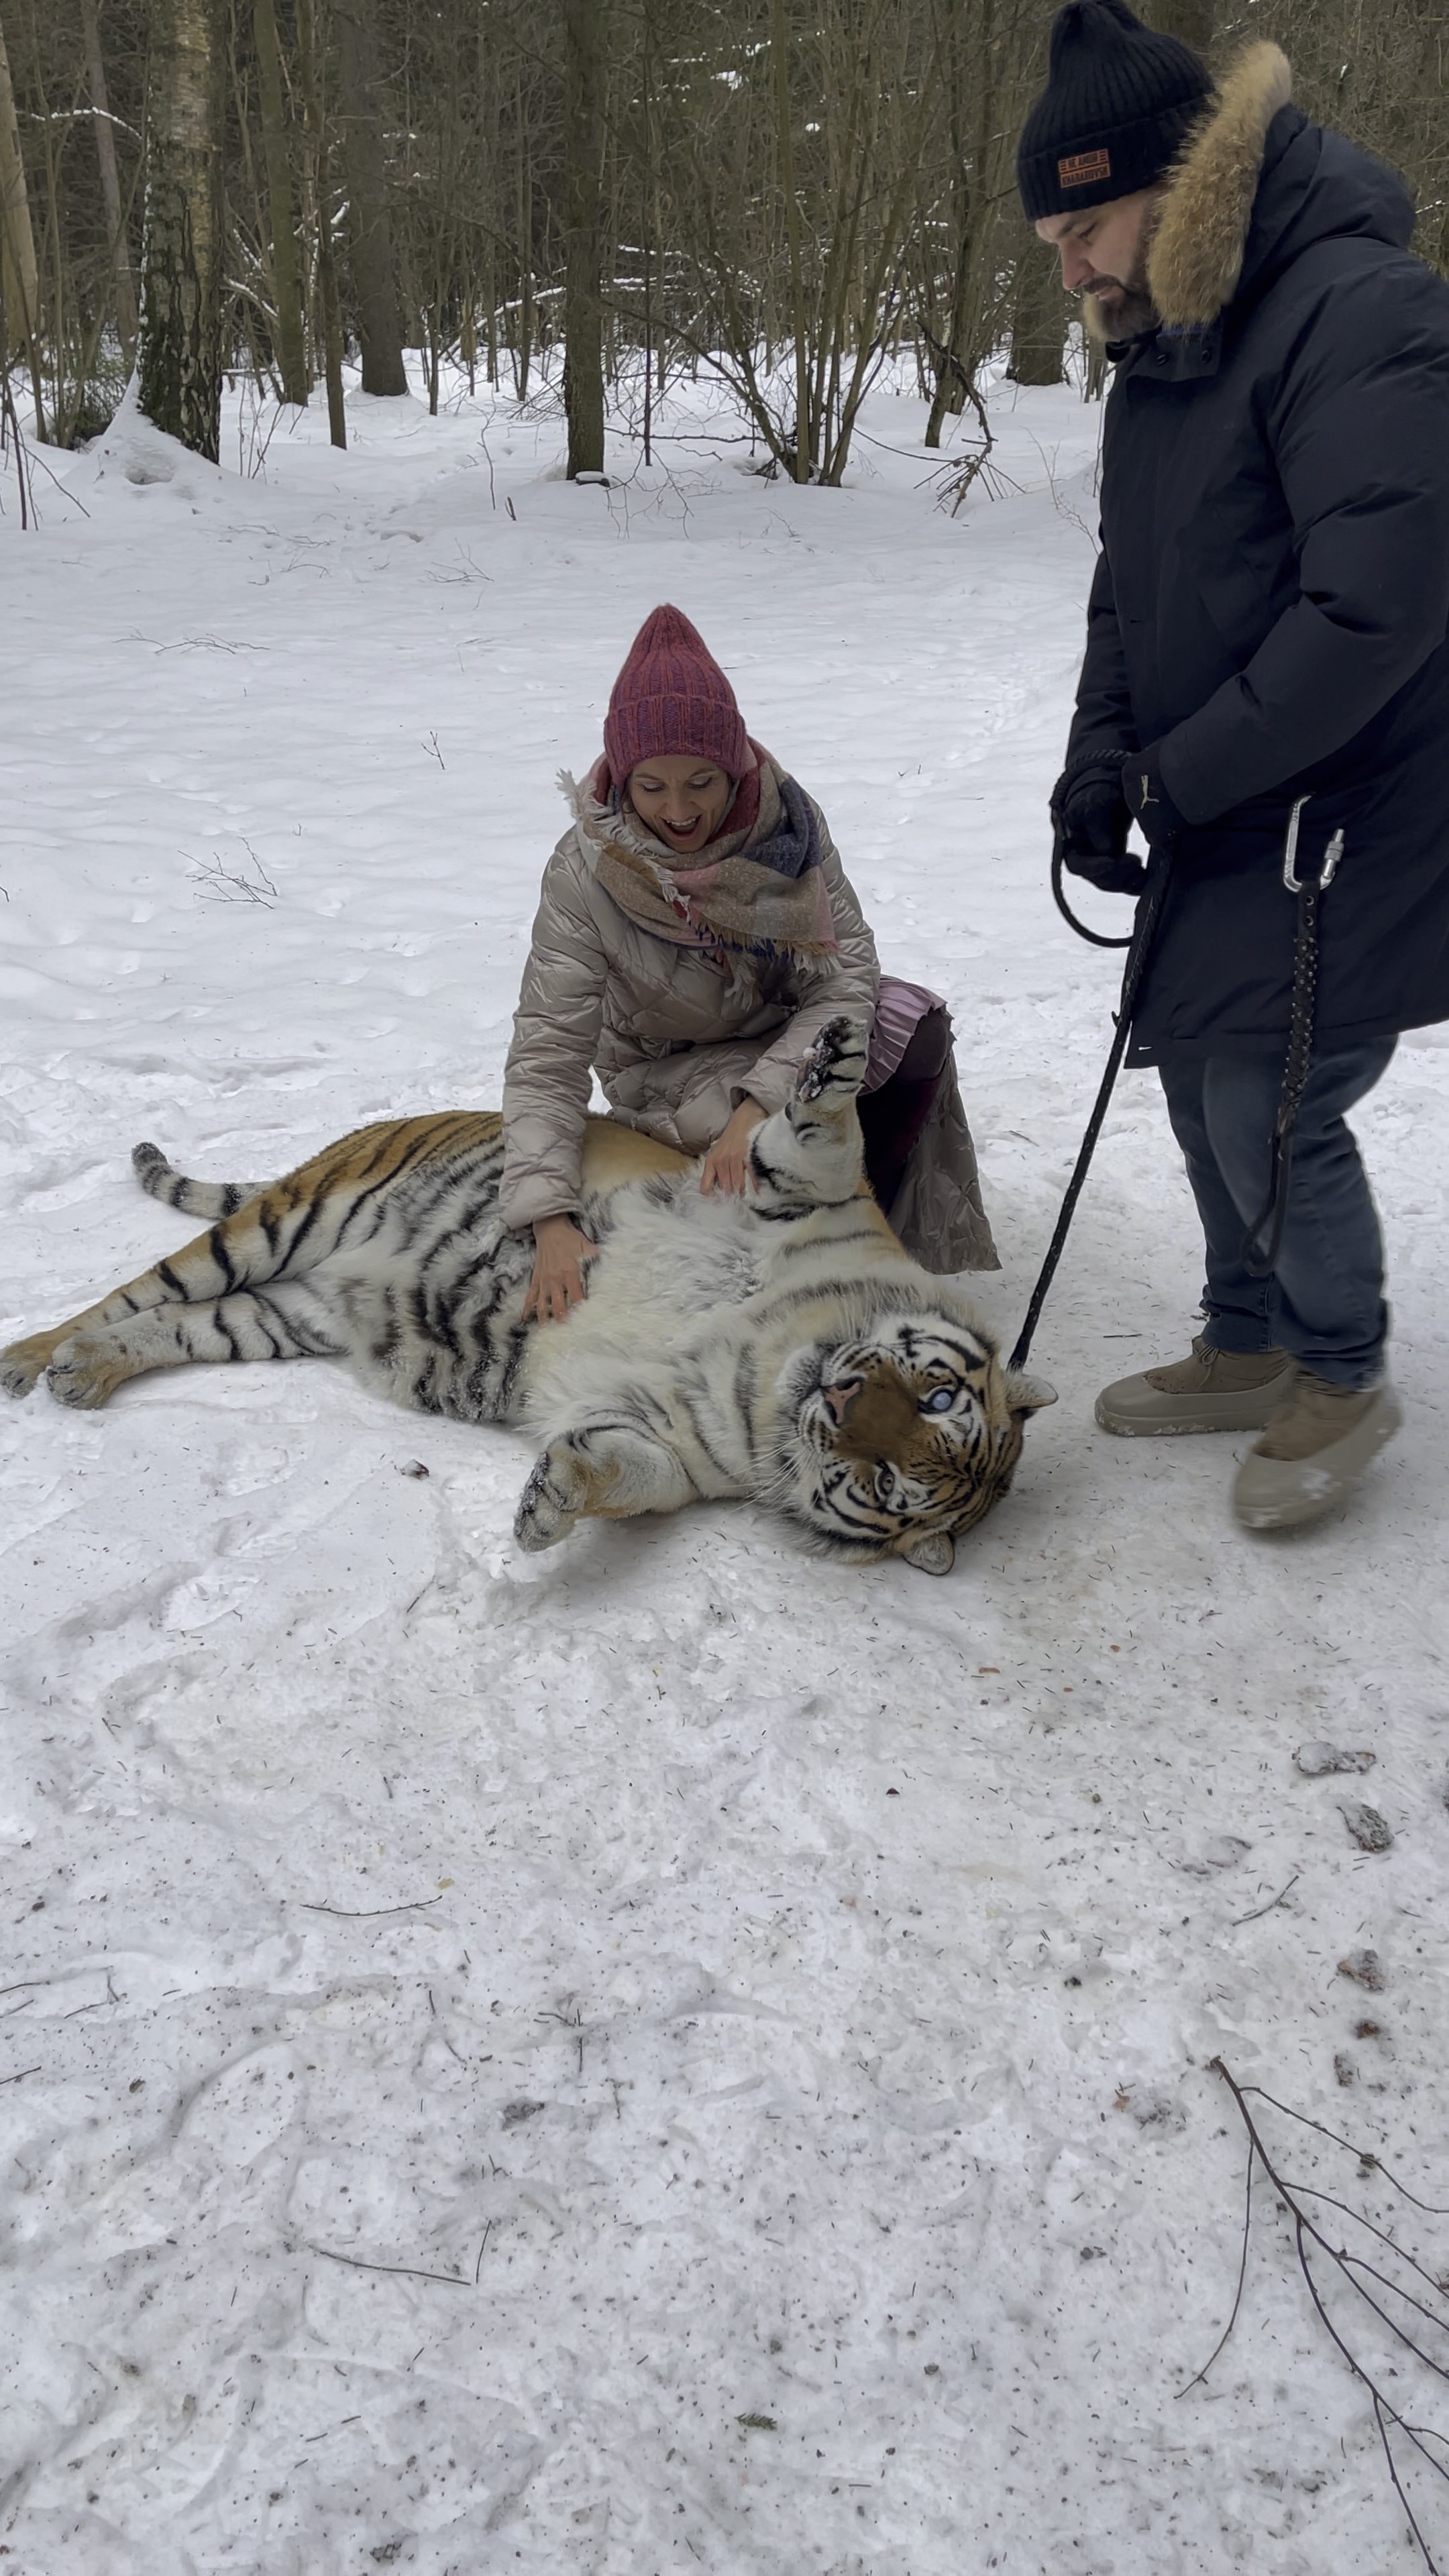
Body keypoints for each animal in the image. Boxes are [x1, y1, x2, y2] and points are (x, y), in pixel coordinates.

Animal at [5, 1020, 1057, 1566]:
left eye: (889, 1479)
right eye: (937, 1393)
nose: (836, 1402)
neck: (770, 1366)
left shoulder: (672, 1437)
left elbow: (634, 1476)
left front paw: (551, 1502)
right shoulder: (798, 1195)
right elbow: (825, 1137)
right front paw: (835, 1059)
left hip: (285, 1313)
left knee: (172, 1325)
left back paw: (82, 1374)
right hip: (280, 1224)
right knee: (123, 1295)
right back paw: (26, 1359)